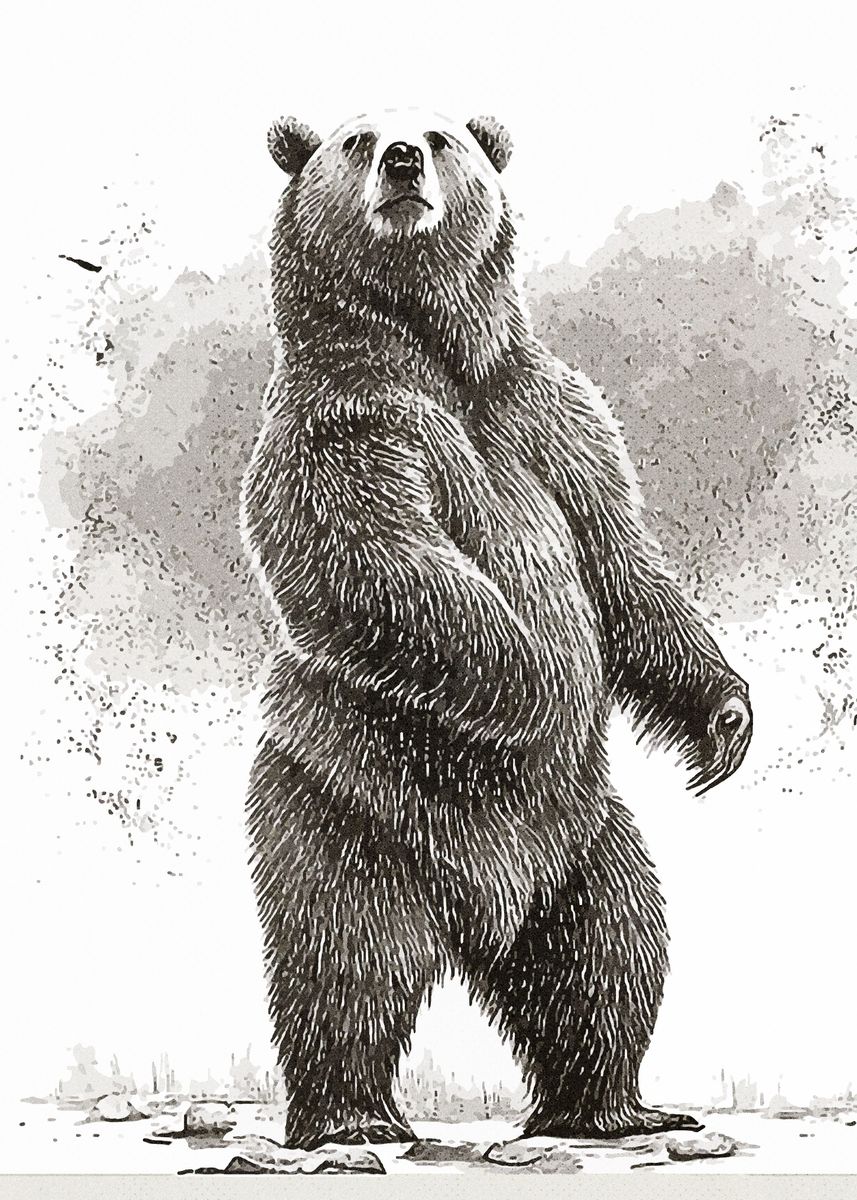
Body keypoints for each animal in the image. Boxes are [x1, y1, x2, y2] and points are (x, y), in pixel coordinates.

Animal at [240, 109, 753, 1150]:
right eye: (356, 138)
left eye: (439, 134)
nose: (402, 159)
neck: (435, 349)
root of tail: (480, 913)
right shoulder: (342, 427)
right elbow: (388, 562)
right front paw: (543, 683)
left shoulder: (550, 411)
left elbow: (619, 564)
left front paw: (723, 717)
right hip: (351, 804)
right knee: (343, 959)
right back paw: (350, 1120)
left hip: (579, 839)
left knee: (609, 951)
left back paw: (612, 1106)